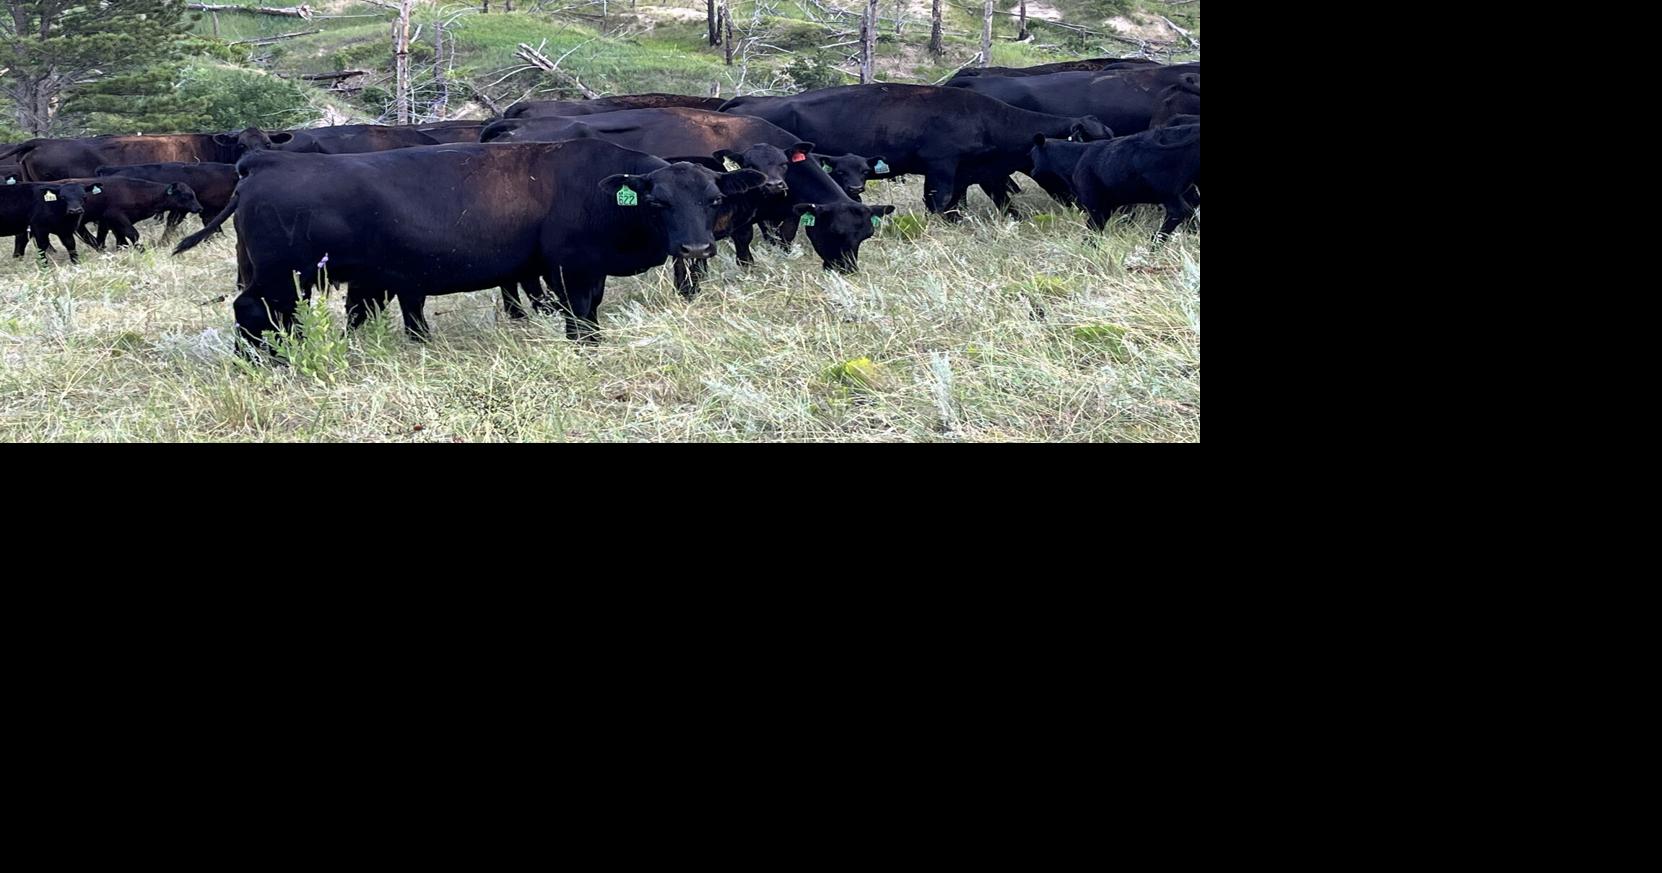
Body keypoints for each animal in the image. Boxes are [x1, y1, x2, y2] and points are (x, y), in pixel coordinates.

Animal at [171, 140, 766, 348]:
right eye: (657, 202)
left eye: (714, 198)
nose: (694, 251)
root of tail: (266, 160)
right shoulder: (573, 266)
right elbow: (581, 311)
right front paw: (587, 345)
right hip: (281, 274)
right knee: (254, 311)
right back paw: (267, 360)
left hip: (278, 275)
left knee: (271, 314)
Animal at [720, 83, 1110, 216]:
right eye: (1083, 146)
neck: (987, 120)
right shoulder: (941, 168)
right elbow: (939, 201)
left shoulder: (977, 174)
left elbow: (974, 203)